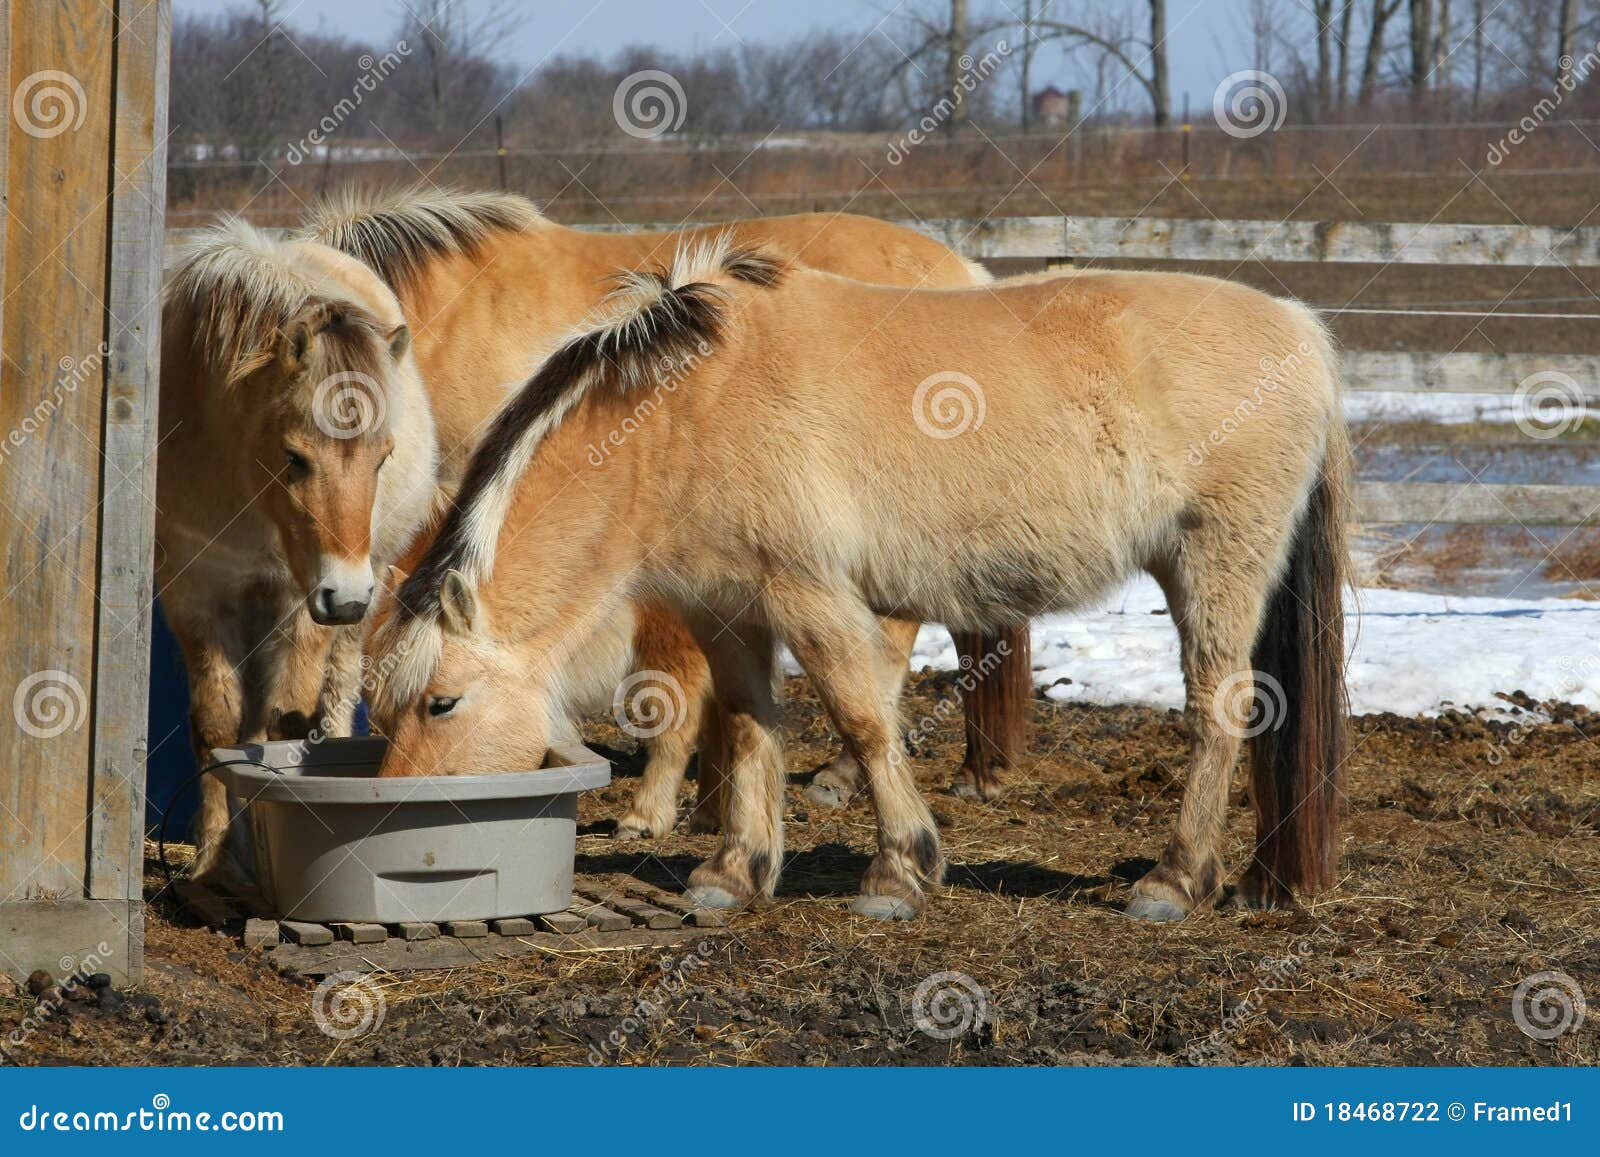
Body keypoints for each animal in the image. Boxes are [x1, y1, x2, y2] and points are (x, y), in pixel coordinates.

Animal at [158, 219, 440, 882]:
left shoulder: (299, 599)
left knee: (331, 695)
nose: (348, 594)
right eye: (294, 456)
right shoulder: (194, 593)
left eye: (383, 457)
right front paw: (215, 858)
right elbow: (219, 725)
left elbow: (283, 720)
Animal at [364, 237, 1351, 924]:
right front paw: (736, 872)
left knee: (1219, 706)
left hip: (1214, 563)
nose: (399, 809)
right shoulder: (729, 610)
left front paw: (898, 871)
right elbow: (750, 724)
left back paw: (1173, 881)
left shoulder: (809, 594)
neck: (679, 415)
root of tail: (1300, 329)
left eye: (442, 702)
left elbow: (864, 717)